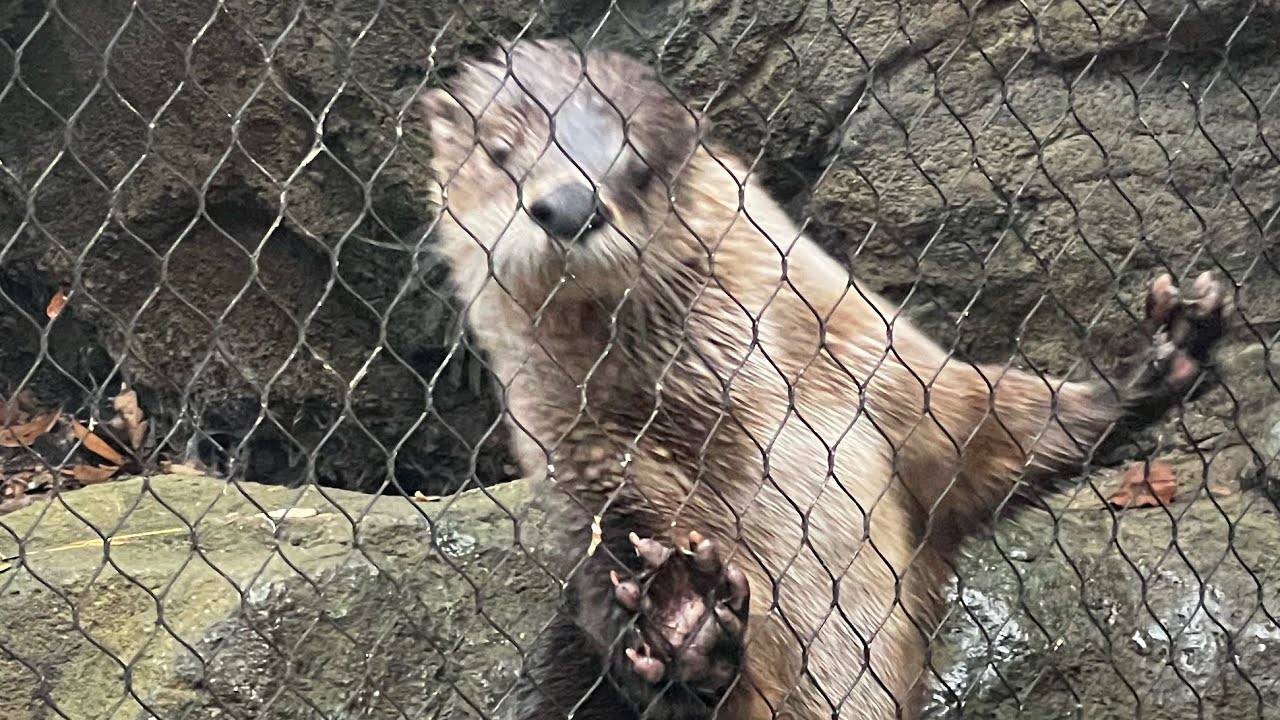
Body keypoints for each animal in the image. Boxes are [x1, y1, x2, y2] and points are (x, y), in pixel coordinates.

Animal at [418, 39, 1231, 720]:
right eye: (500, 151)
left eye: (639, 165)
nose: (568, 205)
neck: (738, 433)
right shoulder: (593, 479)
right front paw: (682, 624)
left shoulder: (894, 379)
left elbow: (1001, 433)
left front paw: (1167, 349)